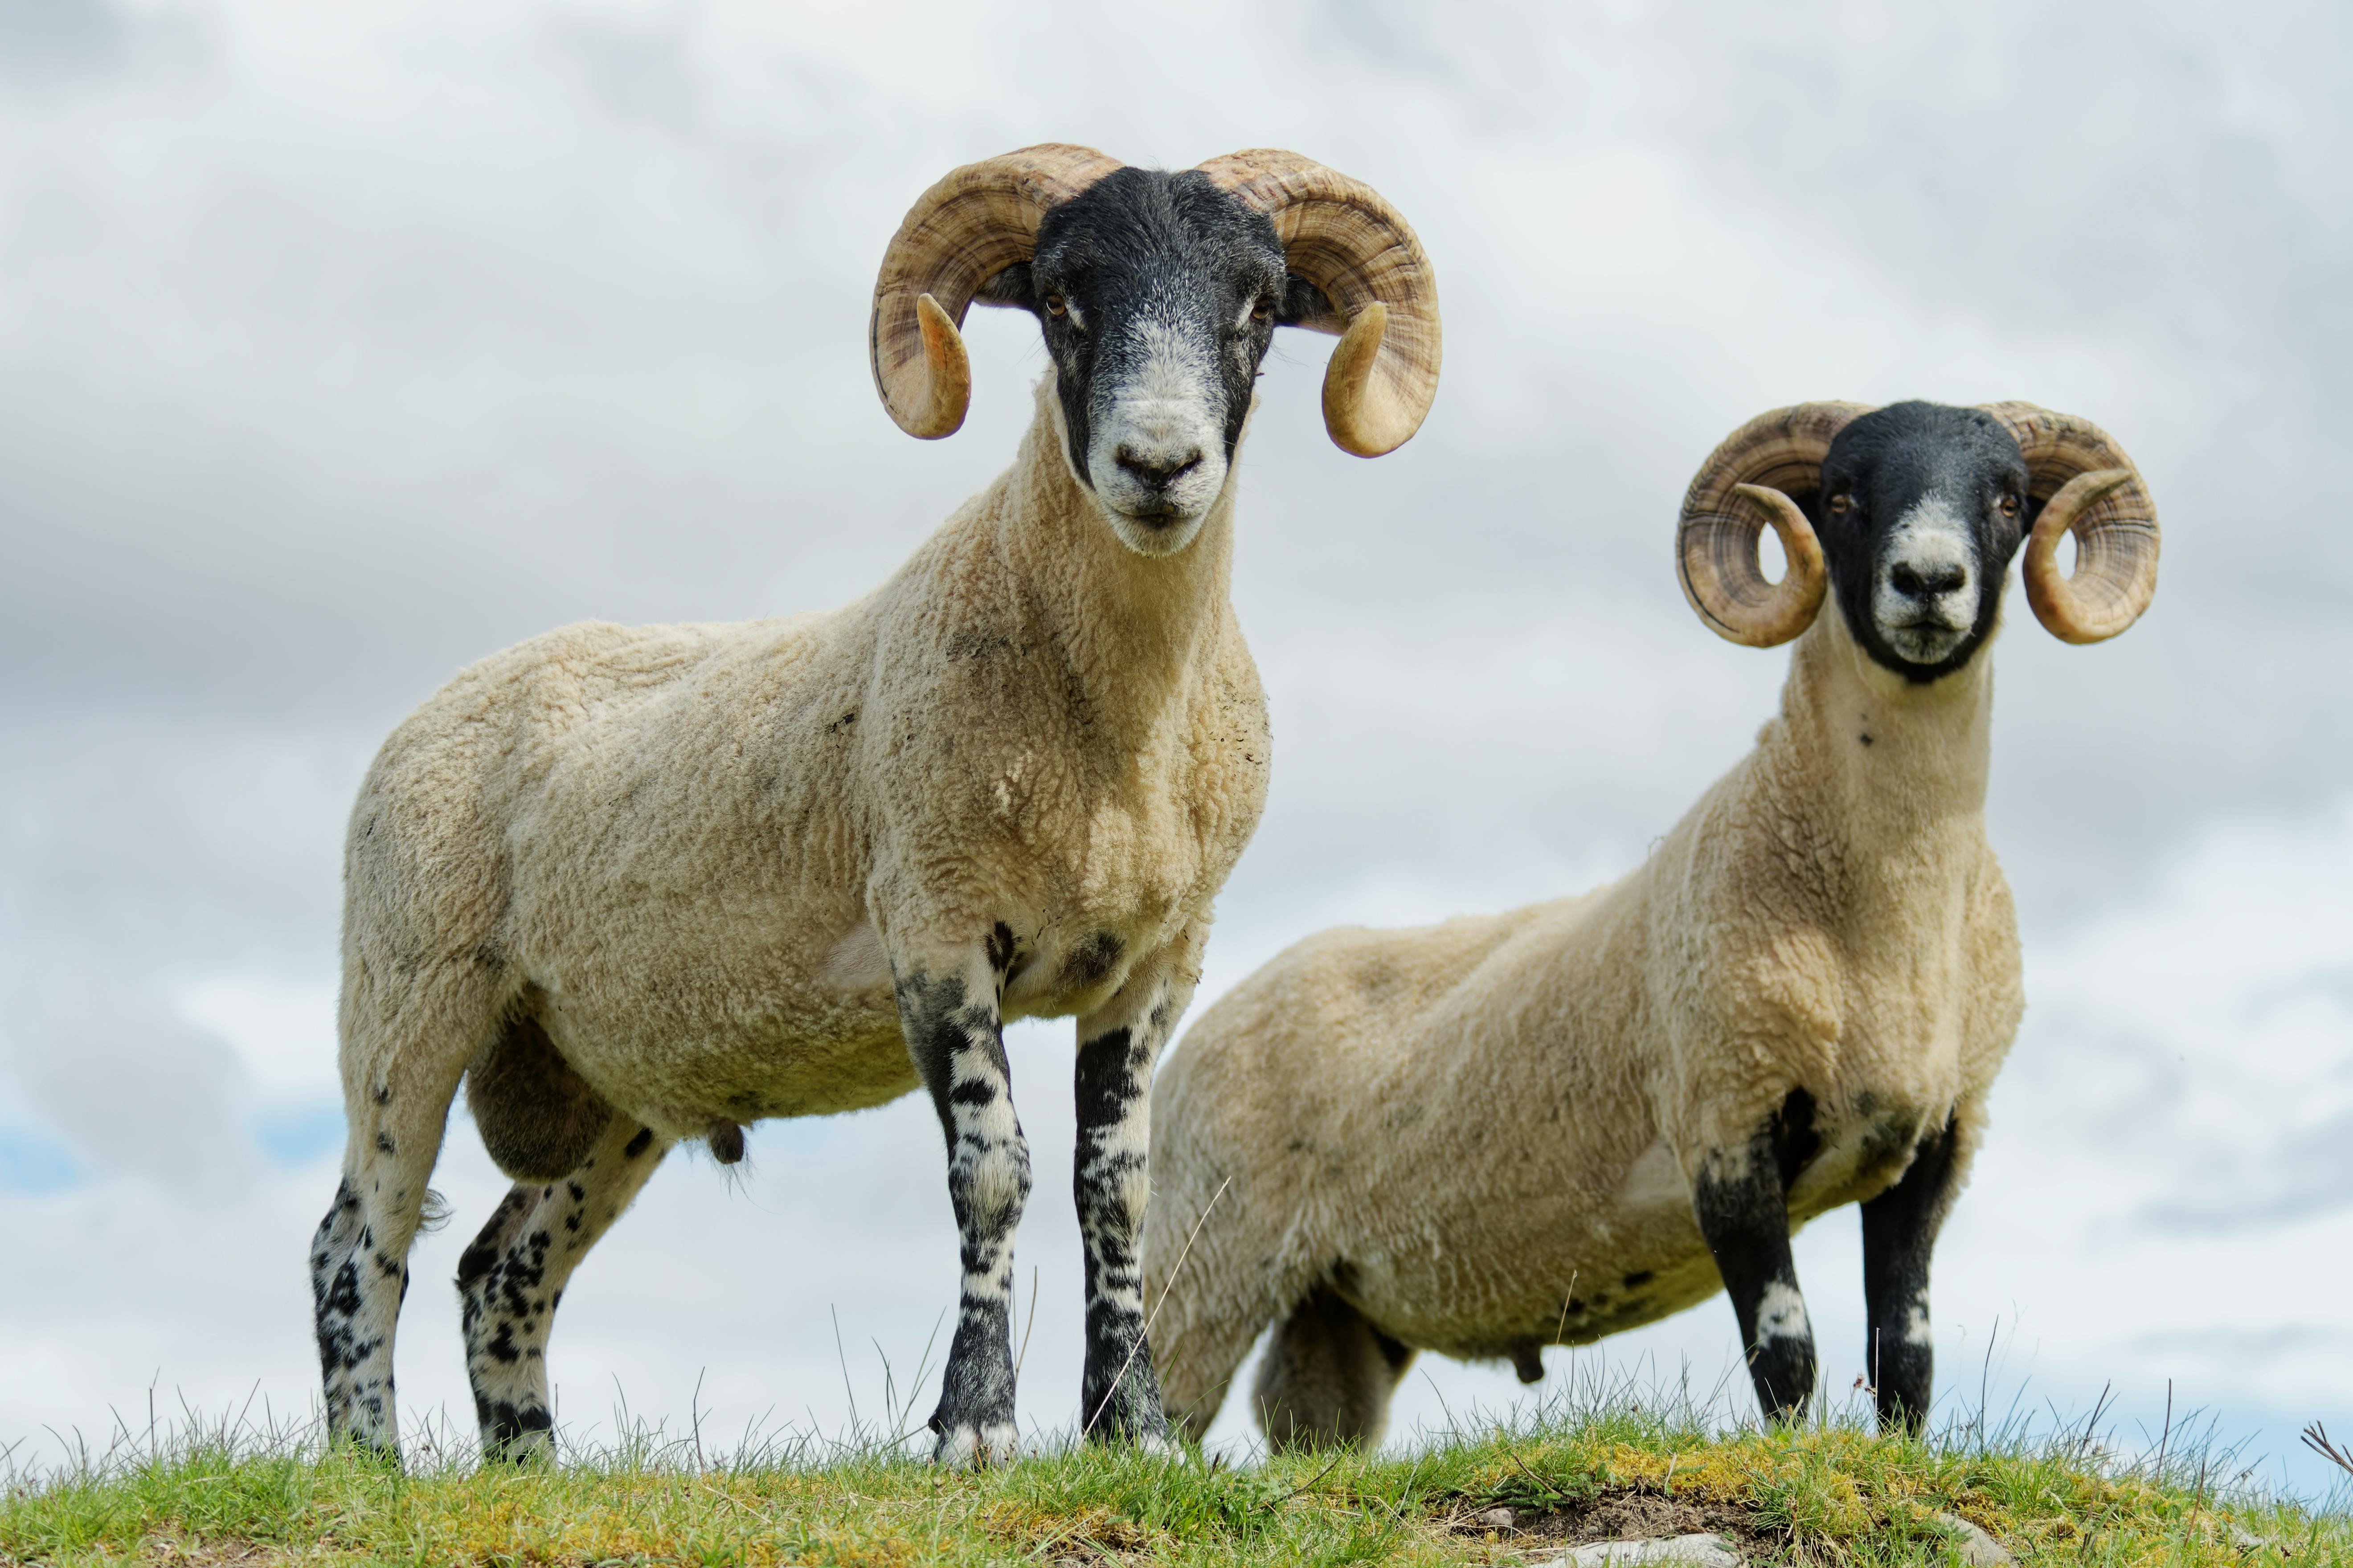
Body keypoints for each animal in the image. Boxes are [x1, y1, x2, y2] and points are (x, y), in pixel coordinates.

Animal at [306, 144, 1442, 1469]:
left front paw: (1136, 1432)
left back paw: (531, 1472)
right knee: (360, 1239)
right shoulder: (935, 922)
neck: (1115, 734)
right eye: (1060, 298)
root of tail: (433, 705)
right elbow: (993, 1171)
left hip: (608, 1074)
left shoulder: (1160, 956)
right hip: (407, 992)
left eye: (1259, 304)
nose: (1159, 466)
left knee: (503, 1273)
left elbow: (1116, 1192)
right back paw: (372, 1463)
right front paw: (975, 1427)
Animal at [1140, 399, 2160, 1447]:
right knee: (1146, 1409)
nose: (1927, 581)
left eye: (2008, 499)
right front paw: (1793, 1459)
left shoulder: (1938, 1137)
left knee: (1312, 1424)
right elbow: (1785, 1350)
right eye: (1841, 495)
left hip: (1337, 1301)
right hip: (1205, 1255)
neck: (1883, 919)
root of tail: (1208, 1022)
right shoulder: (1724, 1112)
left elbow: (1905, 1353)